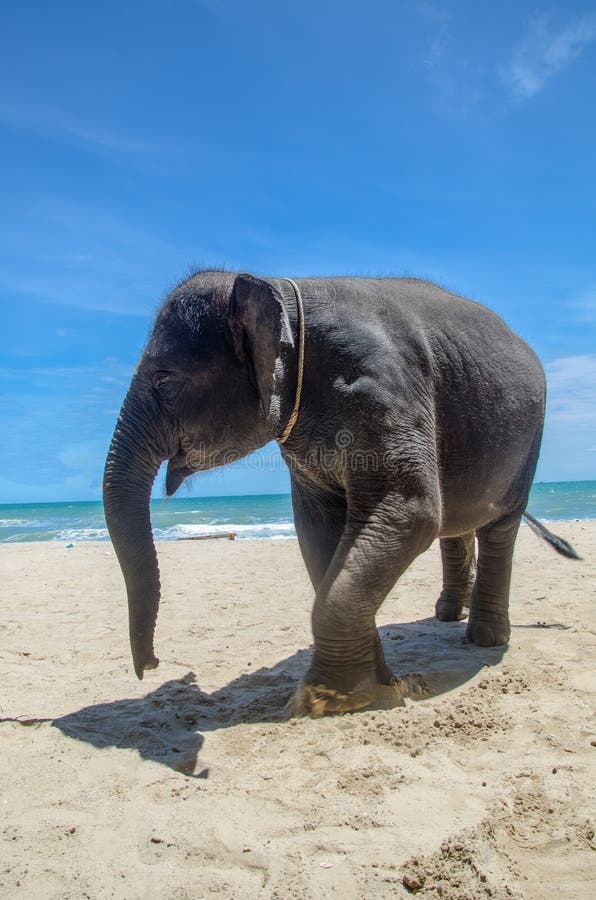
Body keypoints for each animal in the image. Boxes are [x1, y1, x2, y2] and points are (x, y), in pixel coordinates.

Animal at [103, 271, 578, 717]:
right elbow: (318, 533)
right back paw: (447, 614)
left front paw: (329, 700)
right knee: (455, 527)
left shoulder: (382, 389)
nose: (152, 665)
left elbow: (412, 512)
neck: (282, 293)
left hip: (526, 445)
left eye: (164, 379)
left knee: (498, 530)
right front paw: (376, 682)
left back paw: (485, 638)